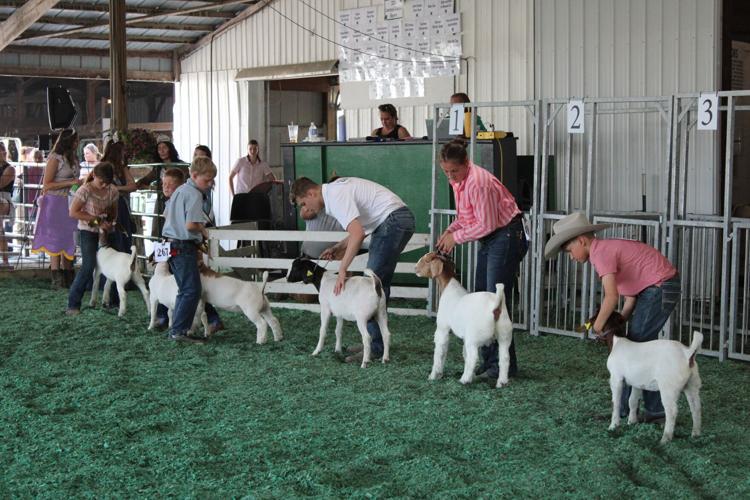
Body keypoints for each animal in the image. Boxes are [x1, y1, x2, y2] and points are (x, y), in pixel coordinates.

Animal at [415, 252, 514, 388]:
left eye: (426, 260)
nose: (415, 268)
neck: (448, 286)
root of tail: (495, 304)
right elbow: (460, 354)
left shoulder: (442, 329)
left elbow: (439, 352)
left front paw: (434, 375)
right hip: (504, 335)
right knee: (504, 358)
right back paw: (501, 382)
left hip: (474, 337)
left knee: (473, 357)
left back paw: (464, 380)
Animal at [587, 310, 703, 444]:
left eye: (597, 312)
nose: (589, 320)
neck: (617, 341)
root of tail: (687, 353)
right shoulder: (637, 383)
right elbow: (632, 400)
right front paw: (631, 421)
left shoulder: (616, 379)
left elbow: (615, 402)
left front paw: (613, 426)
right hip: (692, 384)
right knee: (696, 407)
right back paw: (695, 434)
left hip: (668, 388)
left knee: (672, 411)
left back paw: (665, 438)